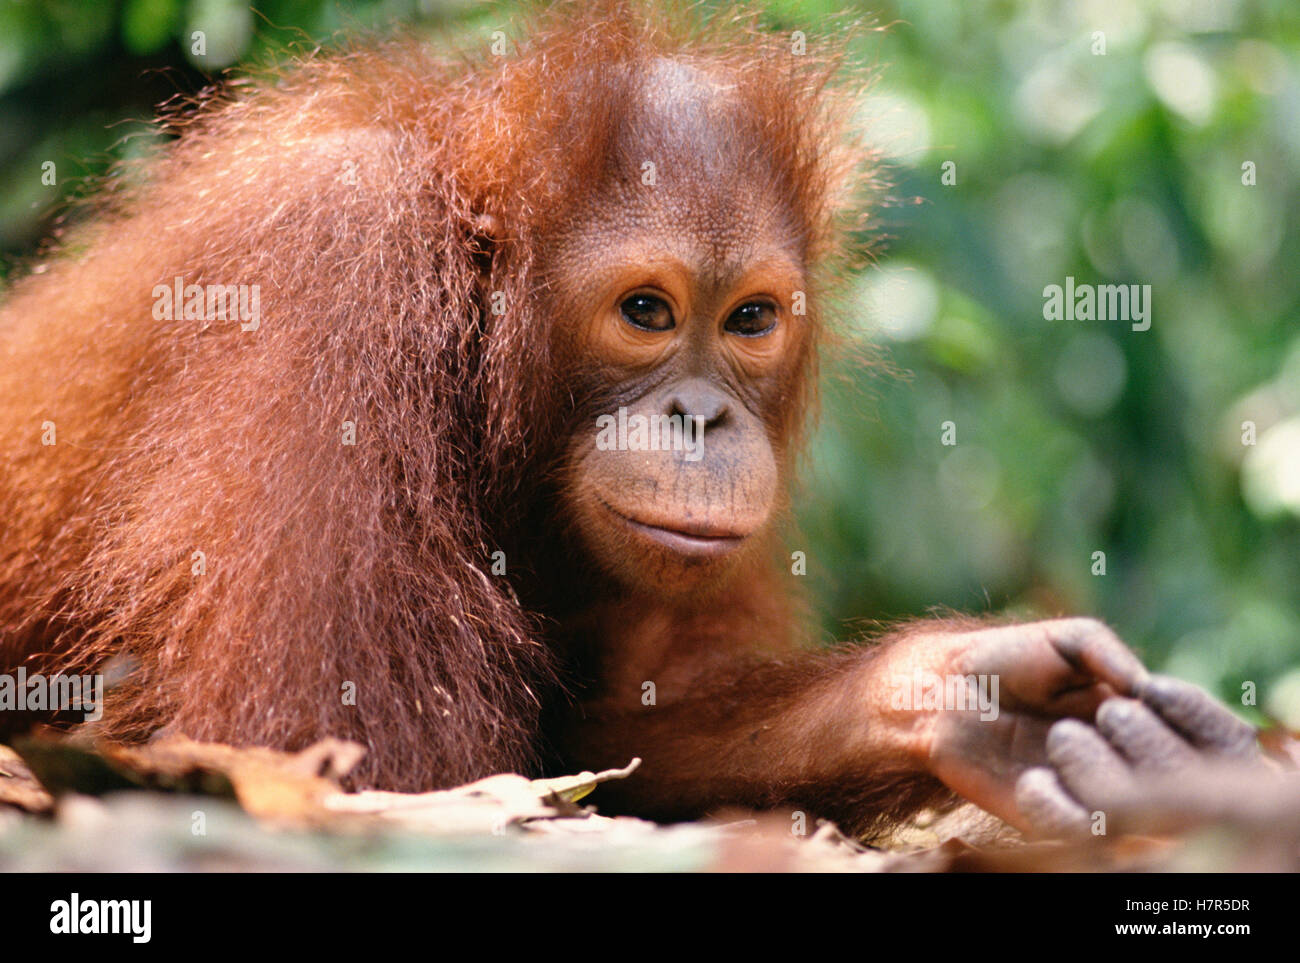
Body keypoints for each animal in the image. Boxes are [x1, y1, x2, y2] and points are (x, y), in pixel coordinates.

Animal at [0, 2, 1263, 838]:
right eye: (647, 310)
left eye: (748, 319)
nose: (701, 416)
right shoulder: (329, 259)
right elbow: (337, 759)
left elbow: (610, 737)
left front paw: (960, 692)